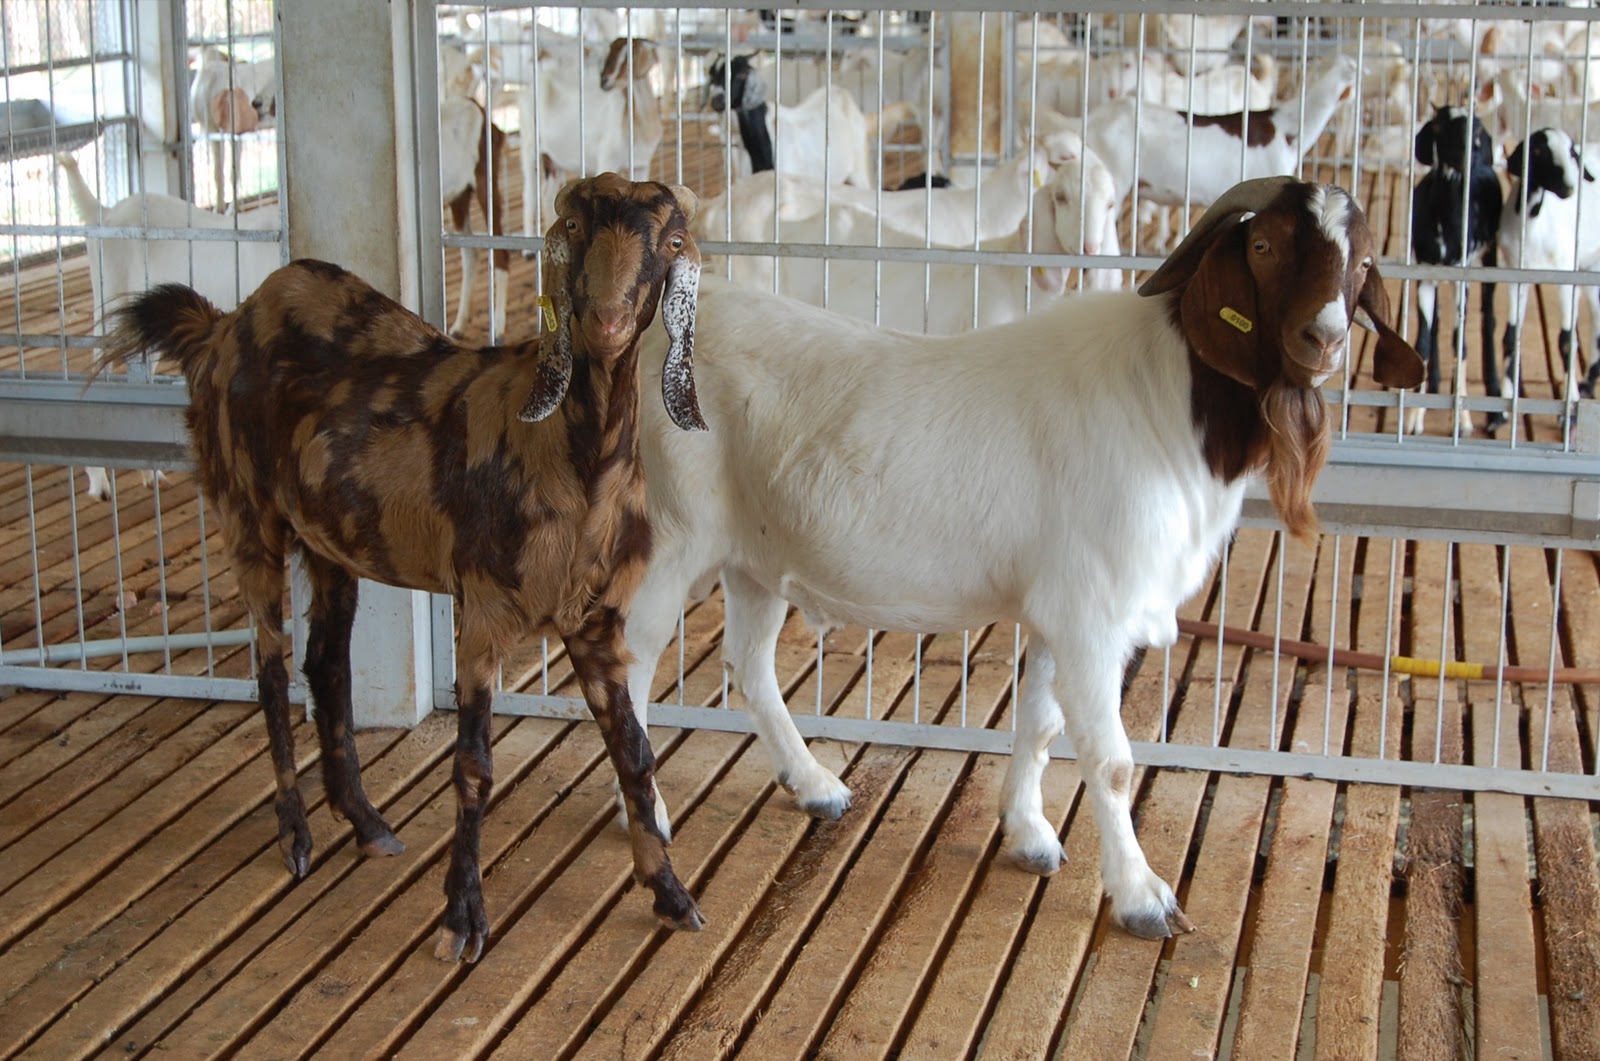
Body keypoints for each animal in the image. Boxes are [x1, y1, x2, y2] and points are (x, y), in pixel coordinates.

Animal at [94, 174, 709, 962]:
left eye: (669, 242)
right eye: (573, 225)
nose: (605, 322)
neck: (574, 462)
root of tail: (222, 326)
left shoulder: (596, 618)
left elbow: (634, 753)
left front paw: (671, 895)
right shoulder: (482, 611)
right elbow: (474, 766)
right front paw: (462, 916)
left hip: (328, 544)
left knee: (325, 665)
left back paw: (365, 822)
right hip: (246, 514)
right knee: (270, 670)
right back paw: (296, 835)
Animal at [519, 38, 663, 238]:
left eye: (632, 54)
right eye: (610, 51)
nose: (605, 81)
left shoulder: (642, 164)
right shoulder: (607, 158)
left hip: (553, 159)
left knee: (547, 195)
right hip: (529, 147)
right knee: (530, 196)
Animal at [624, 175, 1423, 940]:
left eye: (1363, 263)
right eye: (1263, 247)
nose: (1323, 340)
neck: (1164, 402)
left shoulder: (1054, 611)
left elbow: (1039, 724)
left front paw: (1030, 834)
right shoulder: (1093, 615)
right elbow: (1111, 759)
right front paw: (1143, 897)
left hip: (754, 555)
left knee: (749, 661)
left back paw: (815, 783)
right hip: (671, 534)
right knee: (631, 656)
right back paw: (652, 813)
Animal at [1407, 106, 1503, 435]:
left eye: (1479, 130)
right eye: (1438, 126)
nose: (1470, 152)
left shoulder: (1463, 276)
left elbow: (1460, 343)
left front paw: (1461, 421)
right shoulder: (1423, 274)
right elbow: (1423, 341)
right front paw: (1414, 417)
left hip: (1489, 258)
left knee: (1488, 320)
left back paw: (1495, 406)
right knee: (1436, 324)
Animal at [1499, 128, 1600, 414]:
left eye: (1572, 153)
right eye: (1538, 151)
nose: (1568, 188)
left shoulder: (1566, 277)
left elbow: (1567, 340)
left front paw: (1570, 408)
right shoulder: (1513, 273)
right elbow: (1511, 335)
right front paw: (1503, 405)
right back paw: (1589, 383)